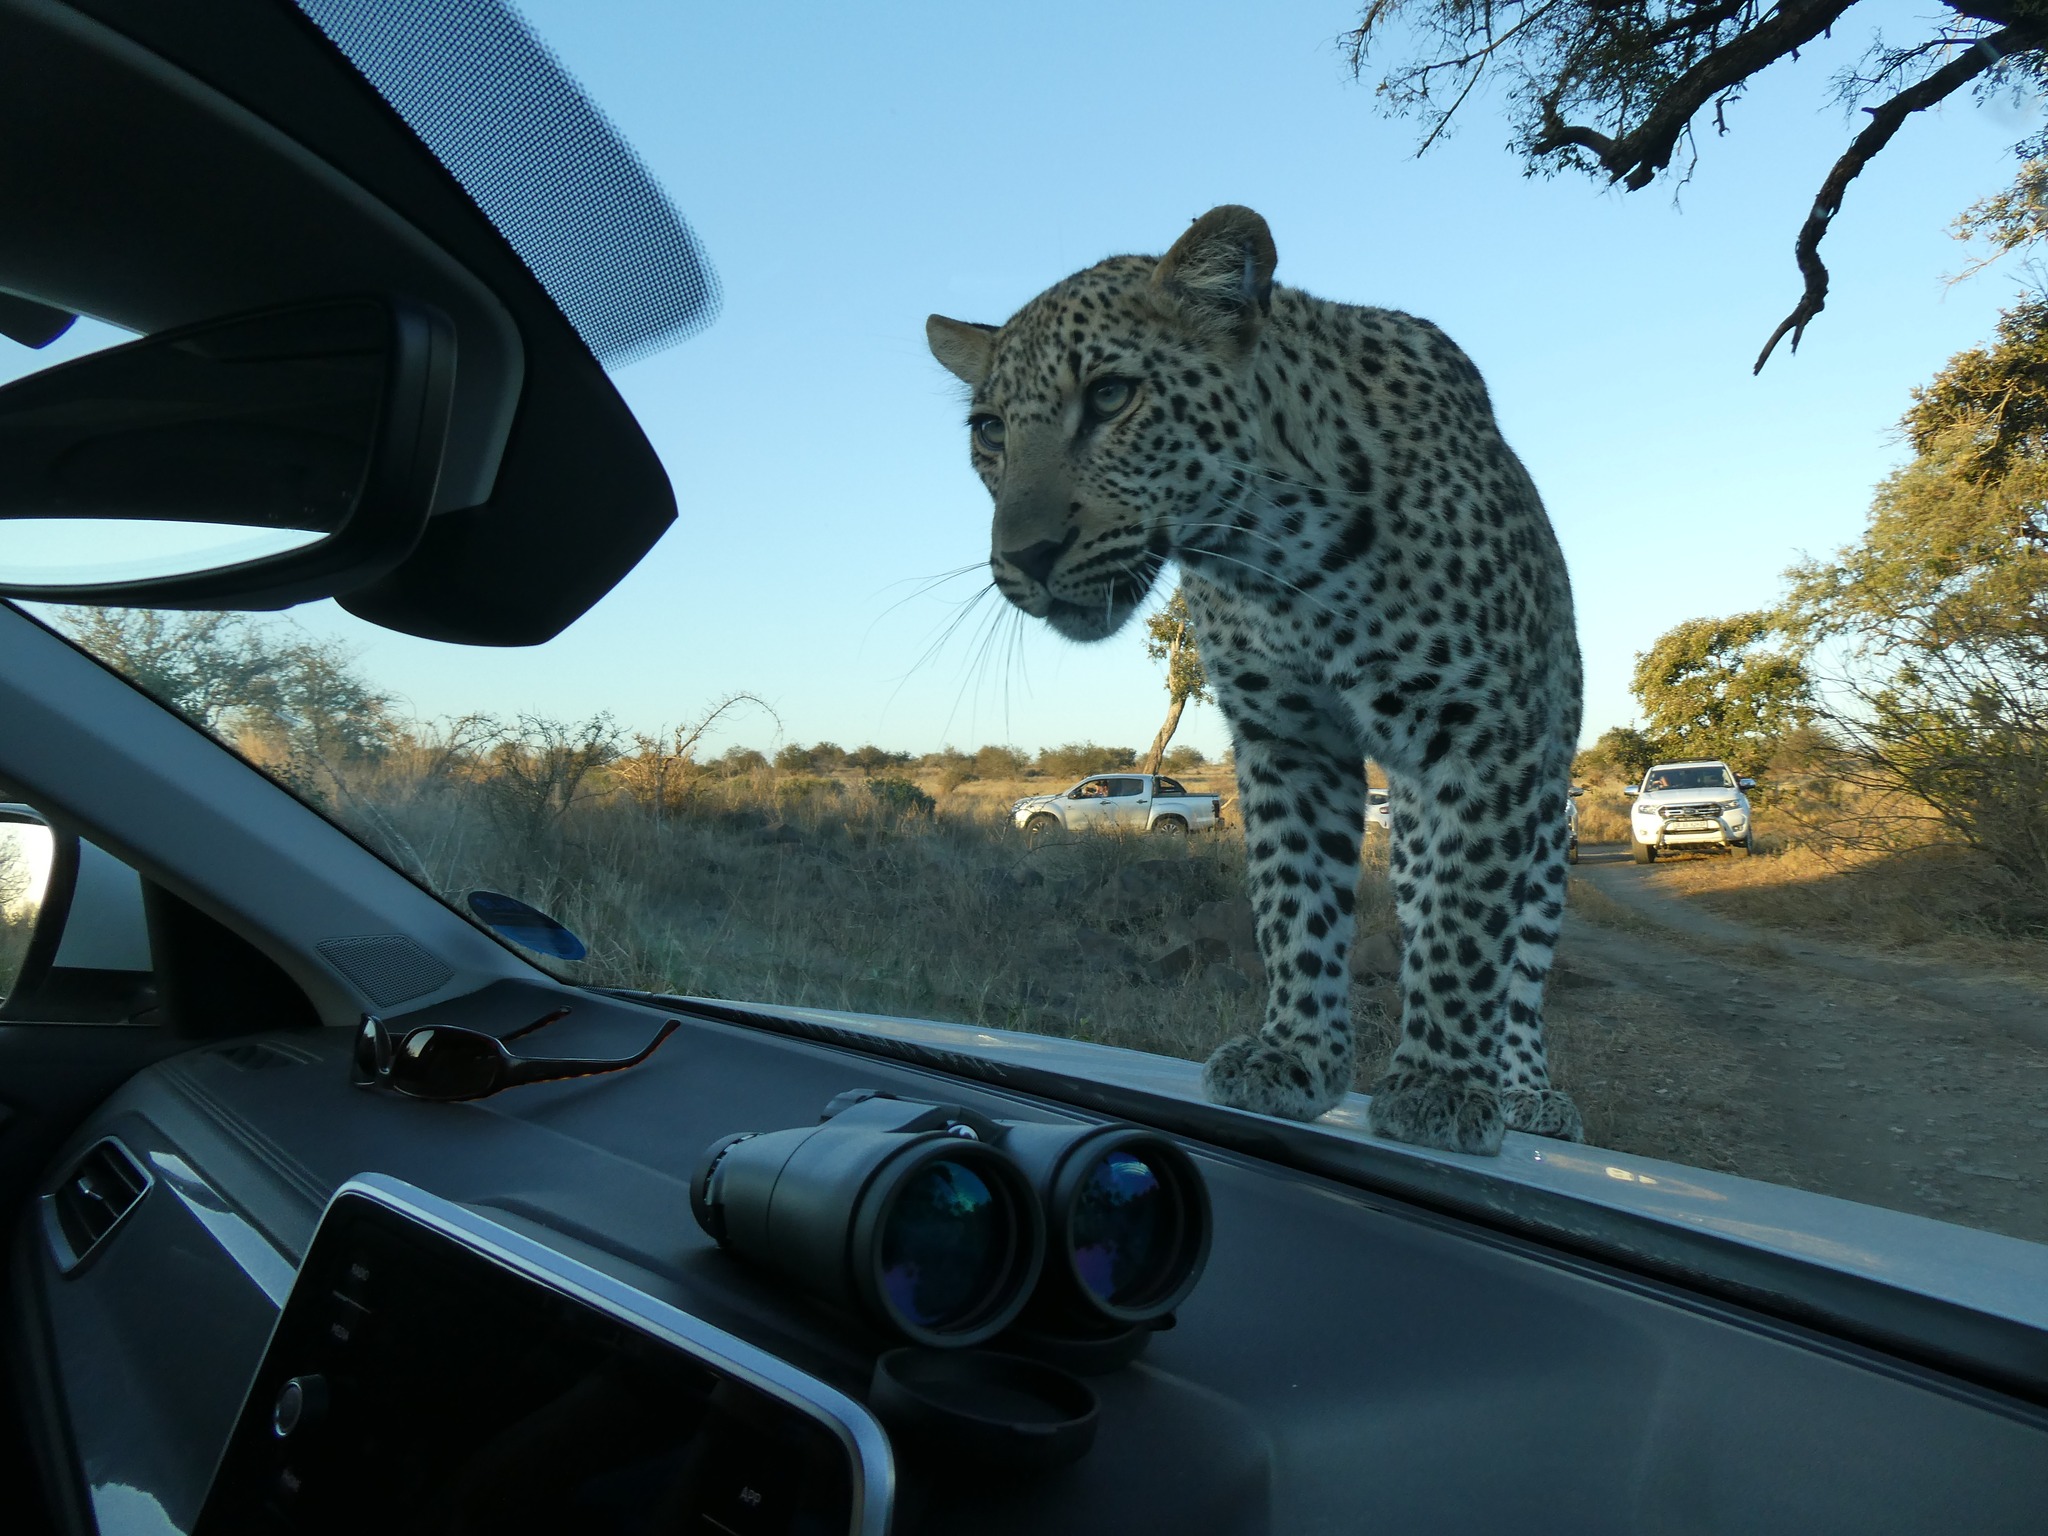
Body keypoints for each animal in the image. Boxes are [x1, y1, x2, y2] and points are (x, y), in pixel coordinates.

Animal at [927, 205, 1583, 1156]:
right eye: (989, 432)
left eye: (1112, 397)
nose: (1026, 558)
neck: (1277, 559)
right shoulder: (1288, 737)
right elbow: (1295, 899)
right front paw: (1296, 1056)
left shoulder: (1483, 732)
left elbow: (1470, 928)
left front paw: (1441, 1087)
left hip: (1542, 792)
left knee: (1521, 952)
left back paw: (1524, 1089)